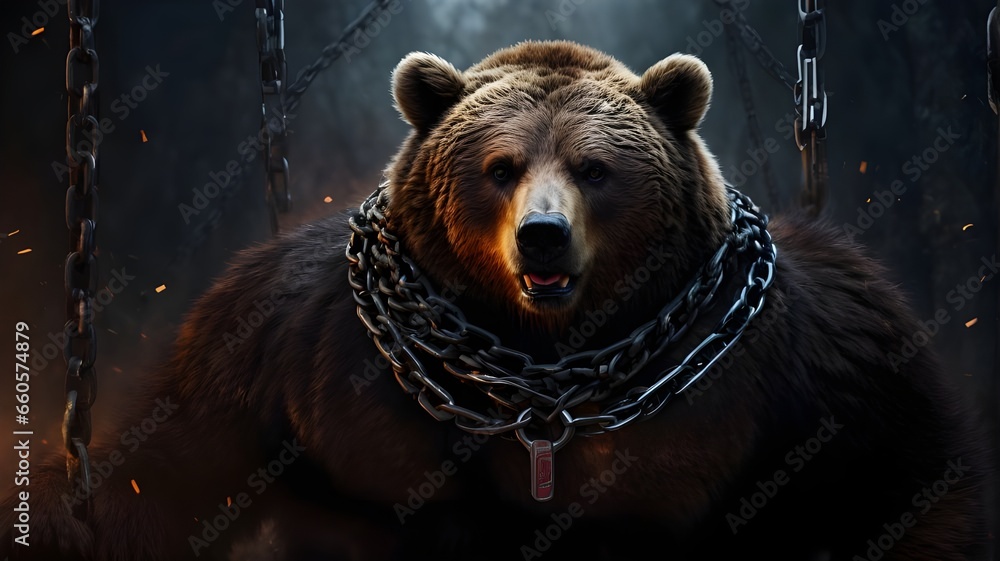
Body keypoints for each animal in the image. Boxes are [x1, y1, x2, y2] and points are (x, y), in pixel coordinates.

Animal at [1, 40, 992, 561]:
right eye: (500, 166)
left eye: (595, 168)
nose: (541, 236)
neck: (547, 357)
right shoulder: (293, 349)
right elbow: (171, 469)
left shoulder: (817, 361)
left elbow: (901, 486)